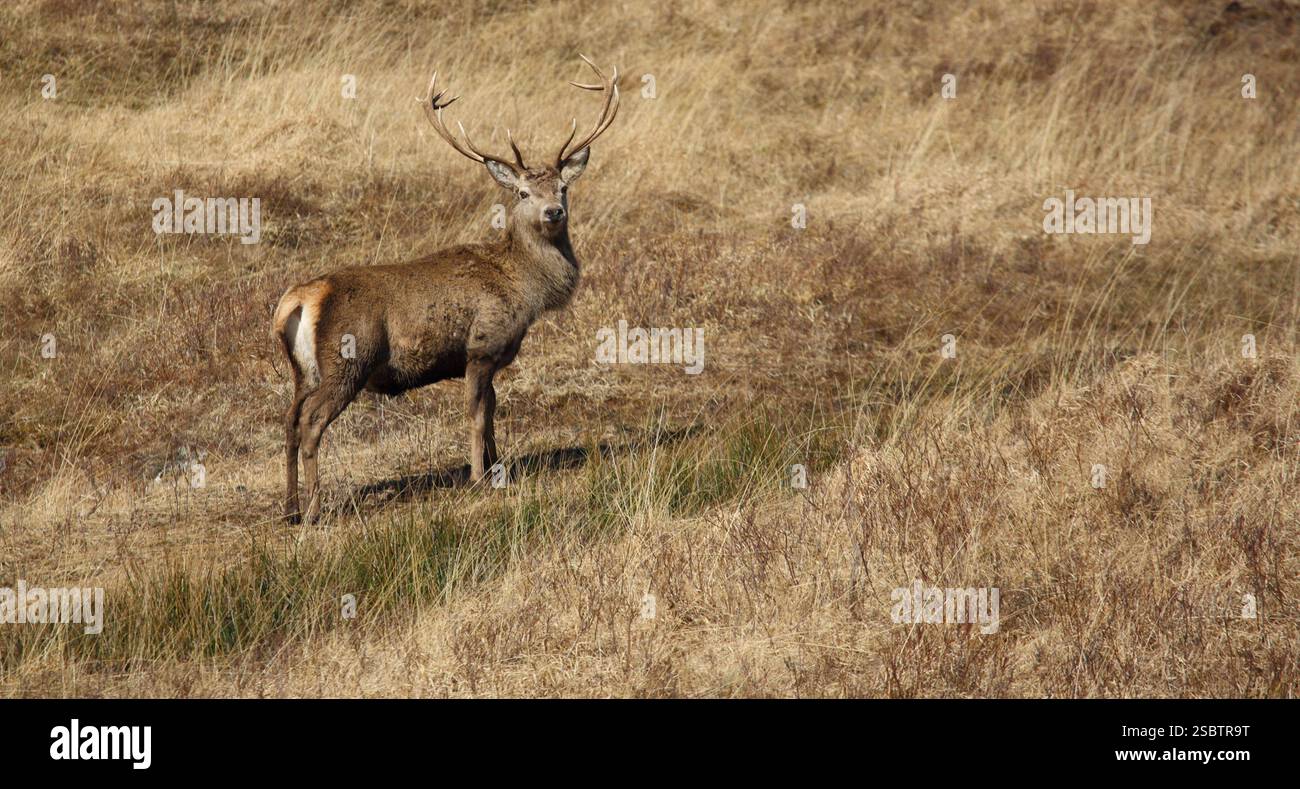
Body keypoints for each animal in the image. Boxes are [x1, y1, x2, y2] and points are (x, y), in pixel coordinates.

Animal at [271, 56, 619, 524]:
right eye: (522, 192)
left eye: (563, 187)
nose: (553, 212)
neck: (525, 291)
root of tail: (298, 300)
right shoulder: (482, 346)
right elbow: (476, 415)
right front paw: (477, 478)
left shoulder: (490, 358)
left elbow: (492, 412)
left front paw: (498, 468)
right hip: (348, 358)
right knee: (310, 423)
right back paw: (313, 510)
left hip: (302, 370)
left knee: (289, 420)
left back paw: (290, 508)